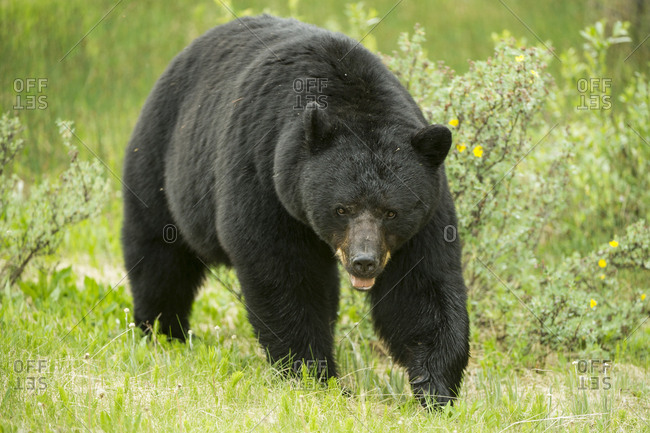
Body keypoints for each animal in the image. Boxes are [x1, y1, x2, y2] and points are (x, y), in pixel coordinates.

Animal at [121, 15, 469, 407]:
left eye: (391, 212)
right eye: (342, 208)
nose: (364, 261)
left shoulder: (425, 216)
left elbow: (420, 287)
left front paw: (435, 386)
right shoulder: (264, 172)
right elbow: (284, 275)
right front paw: (314, 375)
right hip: (162, 162)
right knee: (159, 256)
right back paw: (162, 331)